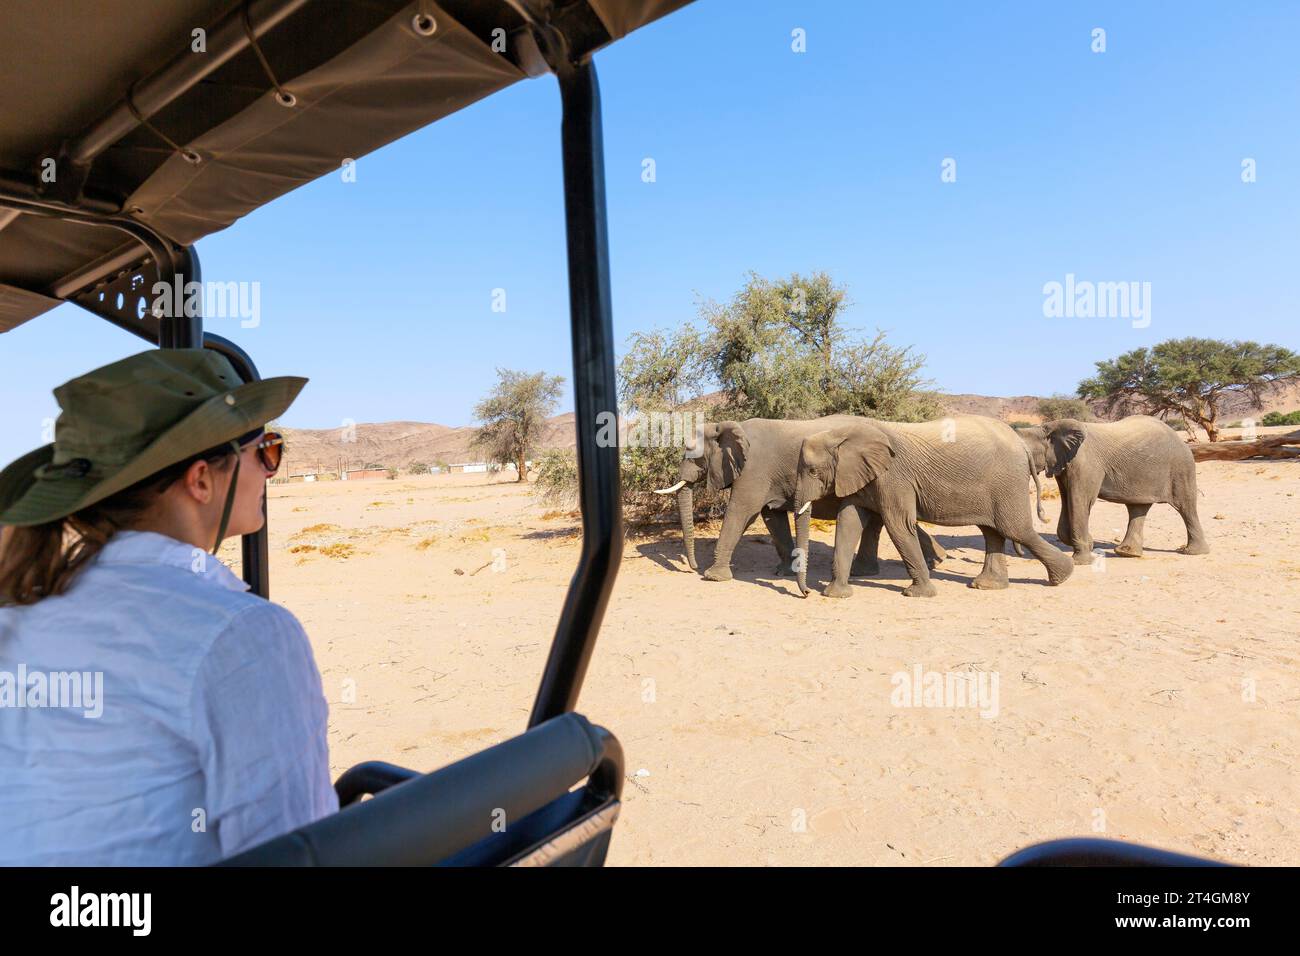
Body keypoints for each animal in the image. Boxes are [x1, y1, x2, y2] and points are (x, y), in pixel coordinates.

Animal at [653, 417, 946, 582]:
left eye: (693, 454)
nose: (691, 566)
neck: (727, 425)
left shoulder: (754, 470)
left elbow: (741, 511)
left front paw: (713, 577)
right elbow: (771, 517)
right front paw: (783, 572)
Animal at [792, 416, 1074, 598]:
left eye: (813, 471)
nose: (806, 593)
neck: (843, 434)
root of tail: (1022, 445)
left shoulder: (894, 477)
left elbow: (899, 525)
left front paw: (917, 594)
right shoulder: (860, 476)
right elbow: (848, 522)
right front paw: (835, 594)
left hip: (1008, 483)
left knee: (1016, 530)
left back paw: (1062, 577)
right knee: (992, 532)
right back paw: (987, 586)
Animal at [1016, 416, 1209, 564]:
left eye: (1028, 455)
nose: (1044, 517)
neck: (1048, 427)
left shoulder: (1086, 464)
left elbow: (1079, 501)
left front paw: (1082, 561)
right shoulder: (1064, 465)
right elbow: (1067, 501)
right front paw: (1090, 544)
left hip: (1181, 467)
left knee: (1186, 507)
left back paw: (1193, 552)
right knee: (1138, 508)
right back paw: (1127, 553)